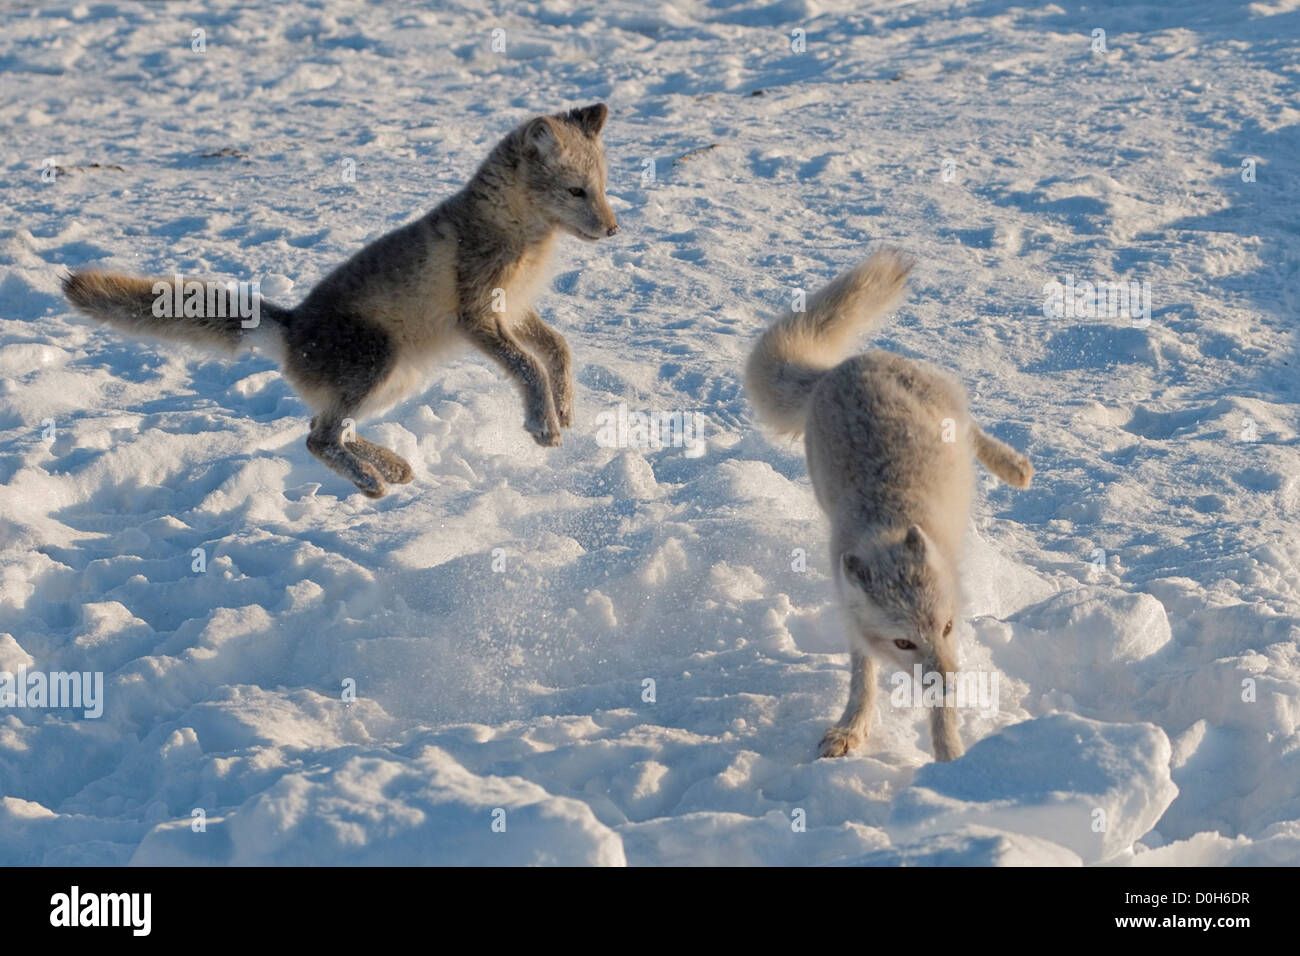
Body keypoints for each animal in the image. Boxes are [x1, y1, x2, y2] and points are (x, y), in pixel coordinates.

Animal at [61, 103, 619, 498]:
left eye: (601, 187)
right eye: (576, 191)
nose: (615, 229)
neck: (519, 235)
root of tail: (290, 326)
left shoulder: (515, 312)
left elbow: (557, 350)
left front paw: (564, 407)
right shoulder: (478, 317)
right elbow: (528, 366)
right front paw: (542, 424)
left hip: (396, 380)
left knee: (323, 427)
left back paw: (390, 467)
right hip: (377, 361)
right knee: (318, 437)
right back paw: (372, 480)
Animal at [745, 247, 1033, 762]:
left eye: (946, 626)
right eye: (903, 641)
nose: (950, 682)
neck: (887, 523)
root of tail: (843, 367)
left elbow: (940, 716)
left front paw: (950, 761)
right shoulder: (853, 616)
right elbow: (863, 677)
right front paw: (851, 728)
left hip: (951, 411)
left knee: (975, 431)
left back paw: (1015, 468)